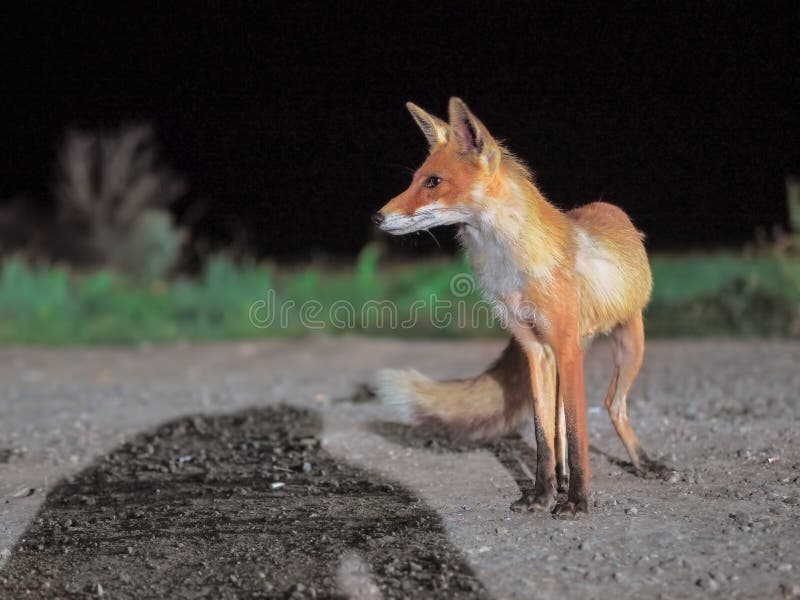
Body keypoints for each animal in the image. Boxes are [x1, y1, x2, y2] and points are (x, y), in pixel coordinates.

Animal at [373, 97, 666, 517]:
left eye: (432, 182)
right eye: (414, 179)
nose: (377, 217)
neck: (512, 269)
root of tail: (609, 207)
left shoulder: (567, 348)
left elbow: (576, 434)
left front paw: (577, 501)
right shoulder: (535, 350)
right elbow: (544, 434)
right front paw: (542, 495)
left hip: (629, 343)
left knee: (613, 405)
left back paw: (642, 463)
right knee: (561, 420)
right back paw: (561, 479)